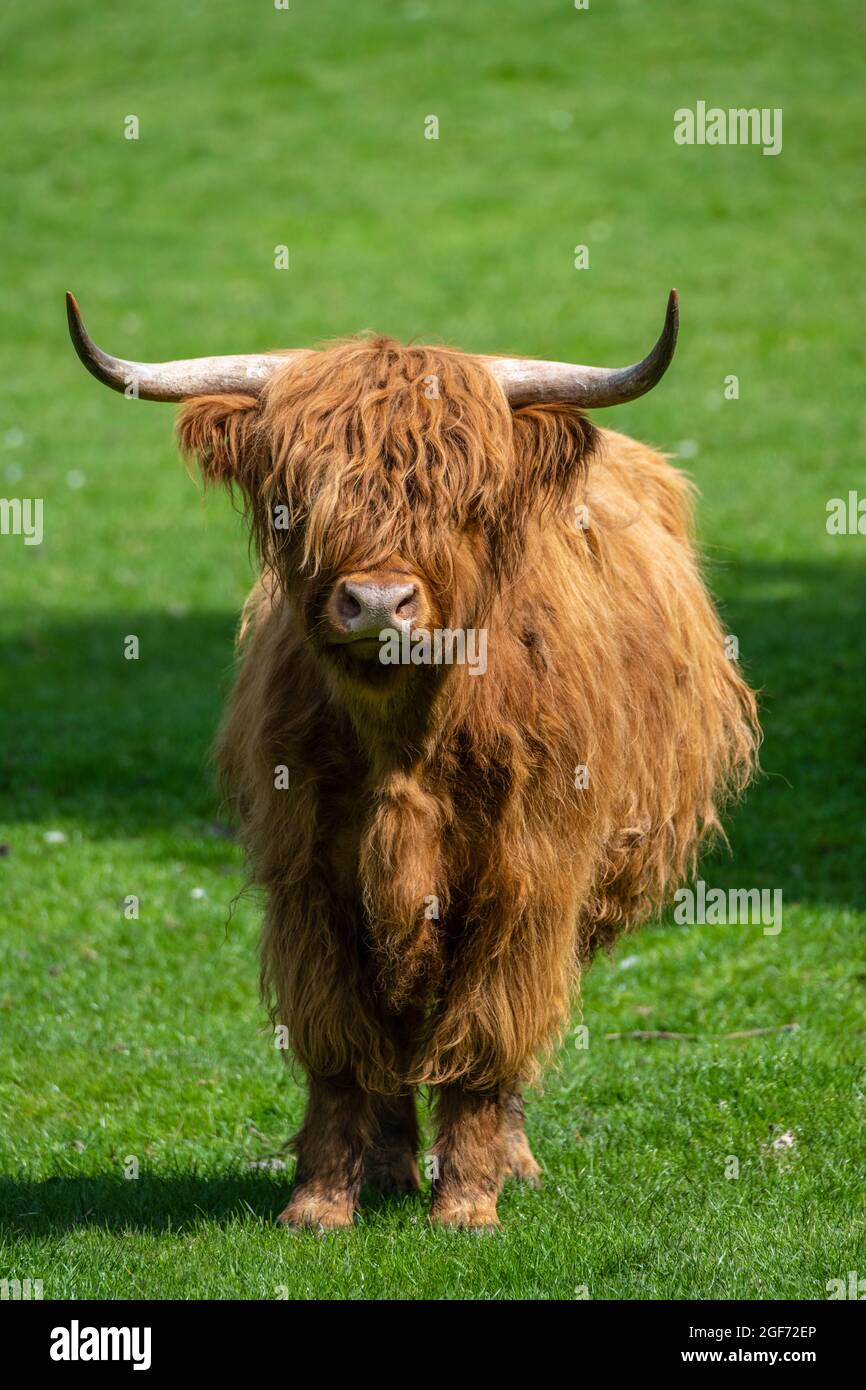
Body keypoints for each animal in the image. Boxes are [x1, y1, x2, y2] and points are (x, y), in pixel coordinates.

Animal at [67, 291, 759, 1229]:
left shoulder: (526, 879)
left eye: (462, 497)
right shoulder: (315, 879)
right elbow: (339, 1045)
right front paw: (321, 1202)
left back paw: (510, 1164)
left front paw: (467, 1204)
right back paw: (390, 1166)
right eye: (299, 496)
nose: (377, 601)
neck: (404, 742)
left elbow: (488, 1037)